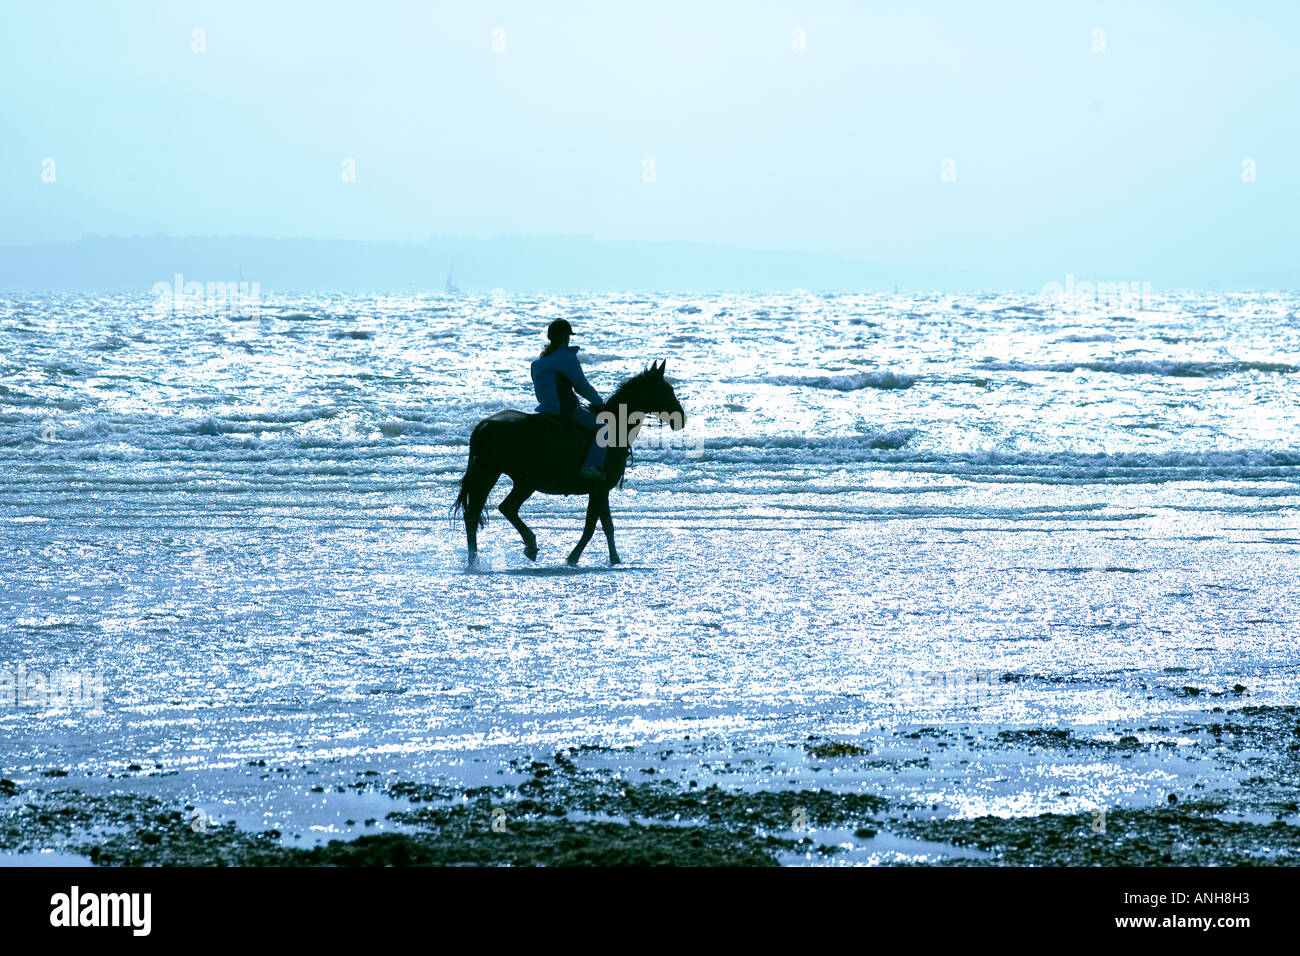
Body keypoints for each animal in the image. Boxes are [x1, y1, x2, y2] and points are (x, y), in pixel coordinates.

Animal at [453, 360, 685, 566]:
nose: (681, 417)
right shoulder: (599, 489)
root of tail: (485, 425)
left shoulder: (599, 491)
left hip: (495, 476)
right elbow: (594, 526)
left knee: (474, 515)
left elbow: (604, 525)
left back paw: (474, 560)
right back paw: (528, 545)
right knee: (503, 508)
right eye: (665, 389)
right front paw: (575, 558)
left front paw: (611, 559)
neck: (614, 428)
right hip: (516, 479)